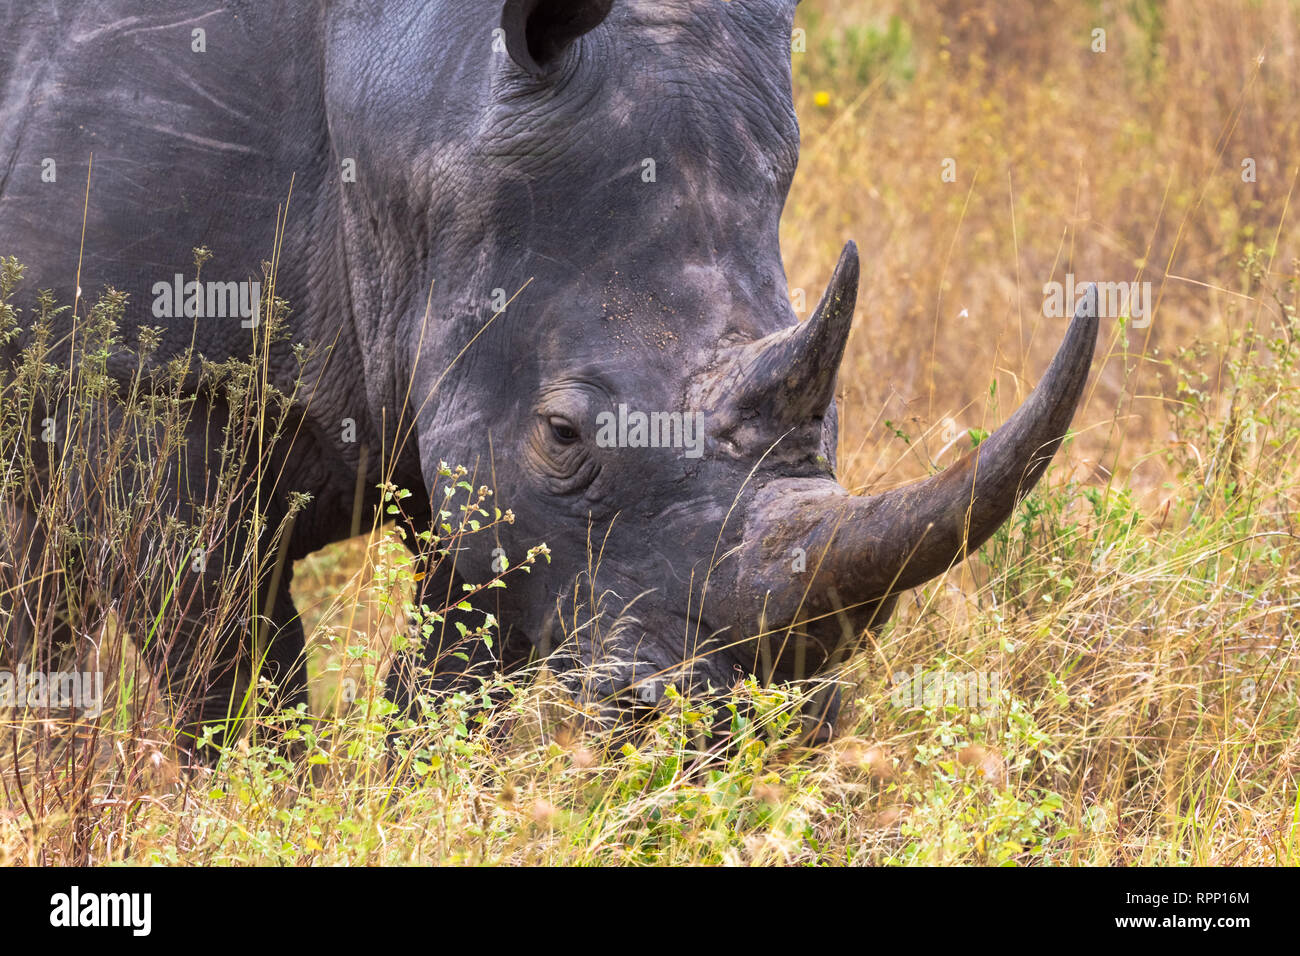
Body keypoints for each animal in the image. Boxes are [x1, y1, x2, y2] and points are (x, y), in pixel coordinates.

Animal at [0, 0, 1096, 749]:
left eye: (833, 425)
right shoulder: (140, 376)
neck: (413, 113)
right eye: (563, 434)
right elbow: (229, 664)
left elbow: (456, 662)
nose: (754, 719)